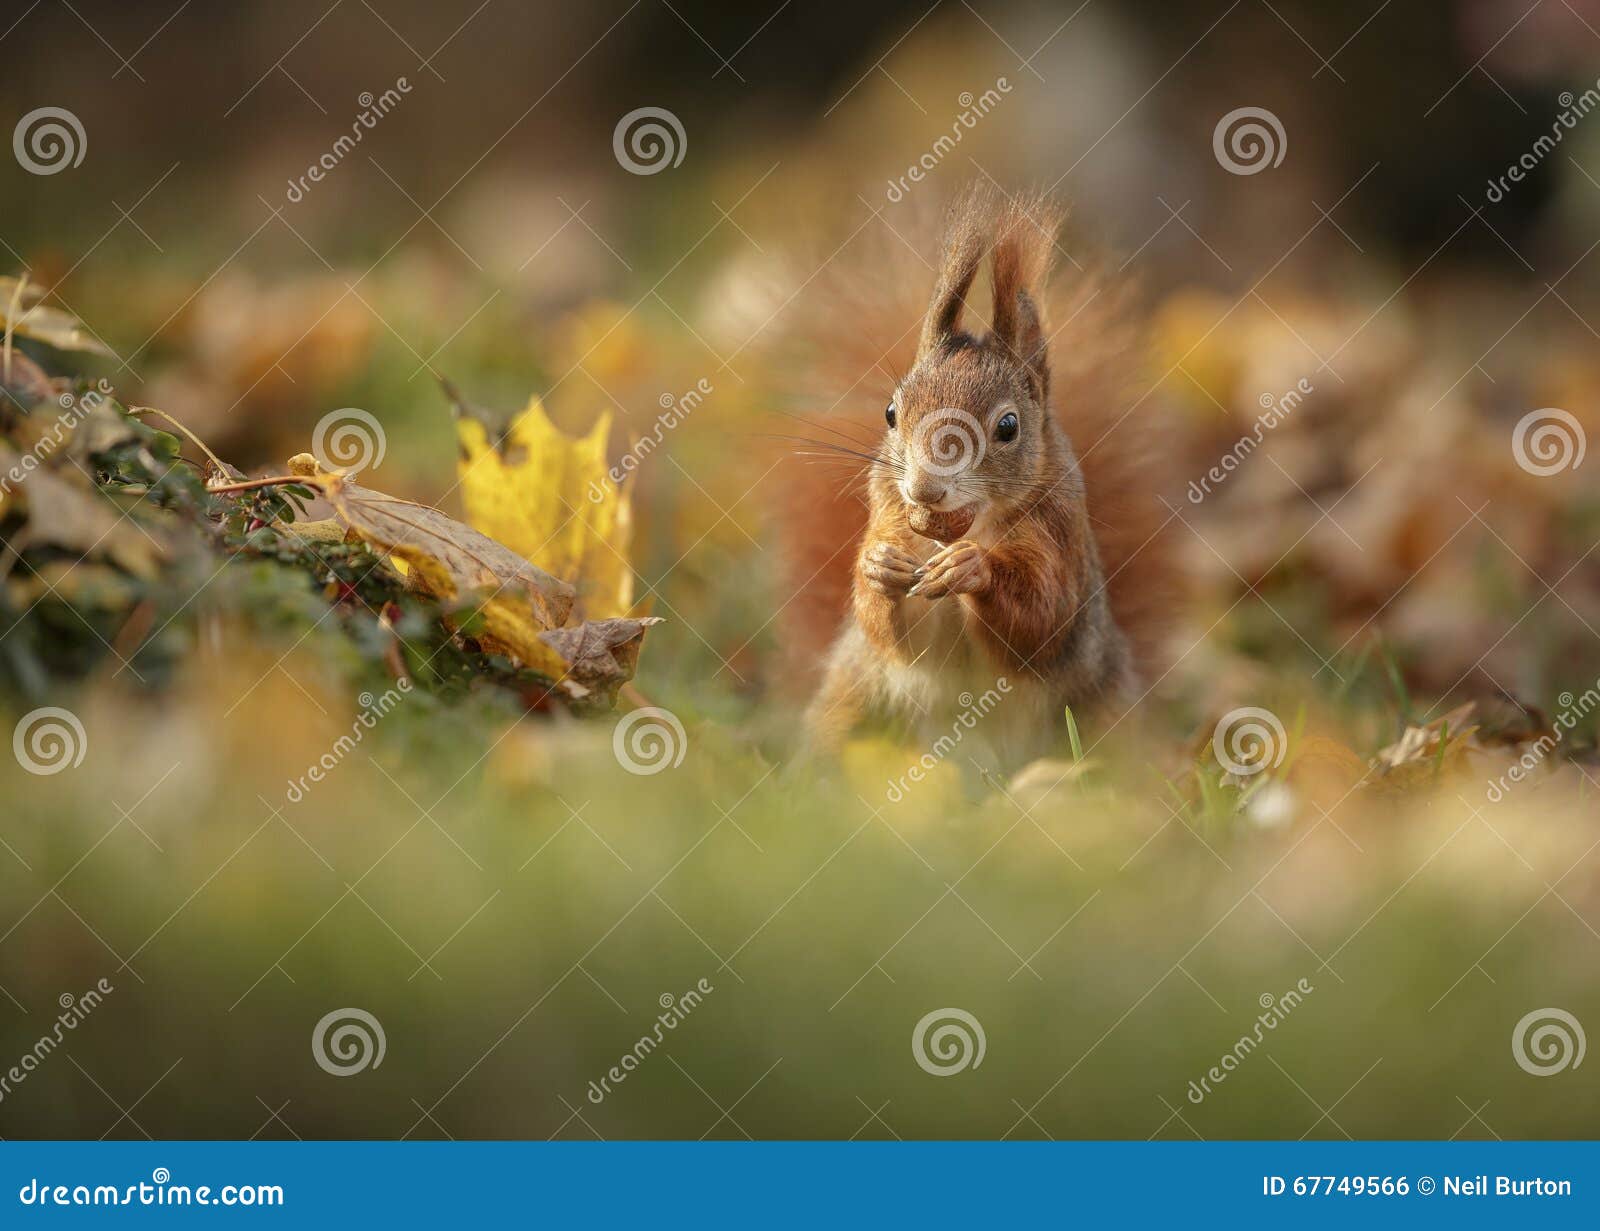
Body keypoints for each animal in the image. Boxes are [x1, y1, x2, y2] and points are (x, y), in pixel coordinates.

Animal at [771, 184, 1180, 763]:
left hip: (1103, 707)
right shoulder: (890, 514)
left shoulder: (1057, 537)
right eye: (891, 413)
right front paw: (878, 567)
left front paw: (971, 567)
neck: (967, 525)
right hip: (854, 701)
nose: (925, 489)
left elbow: (1040, 621)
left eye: (1008, 426)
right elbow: (899, 639)